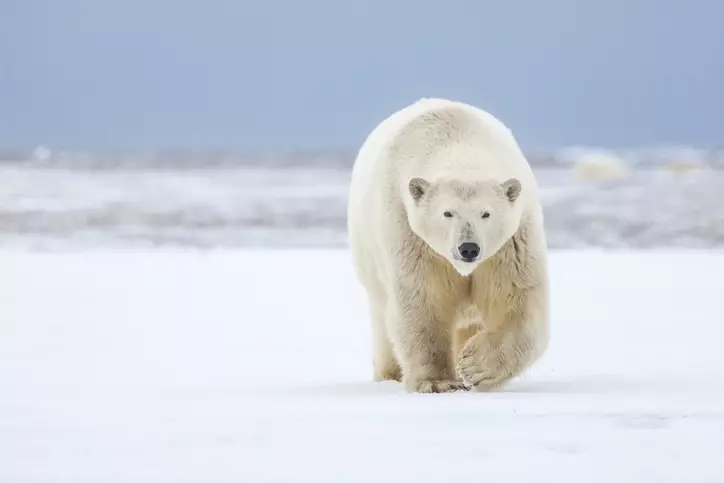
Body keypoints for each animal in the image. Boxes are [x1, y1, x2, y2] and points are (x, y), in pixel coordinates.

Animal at [346, 97, 548, 394]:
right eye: (447, 213)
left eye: (486, 213)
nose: (468, 248)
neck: (457, 138)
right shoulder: (410, 232)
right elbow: (422, 298)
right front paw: (438, 382)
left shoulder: (512, 241)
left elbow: (518, 297)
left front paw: (474, 367)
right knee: (383, 323)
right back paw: (389, 374)